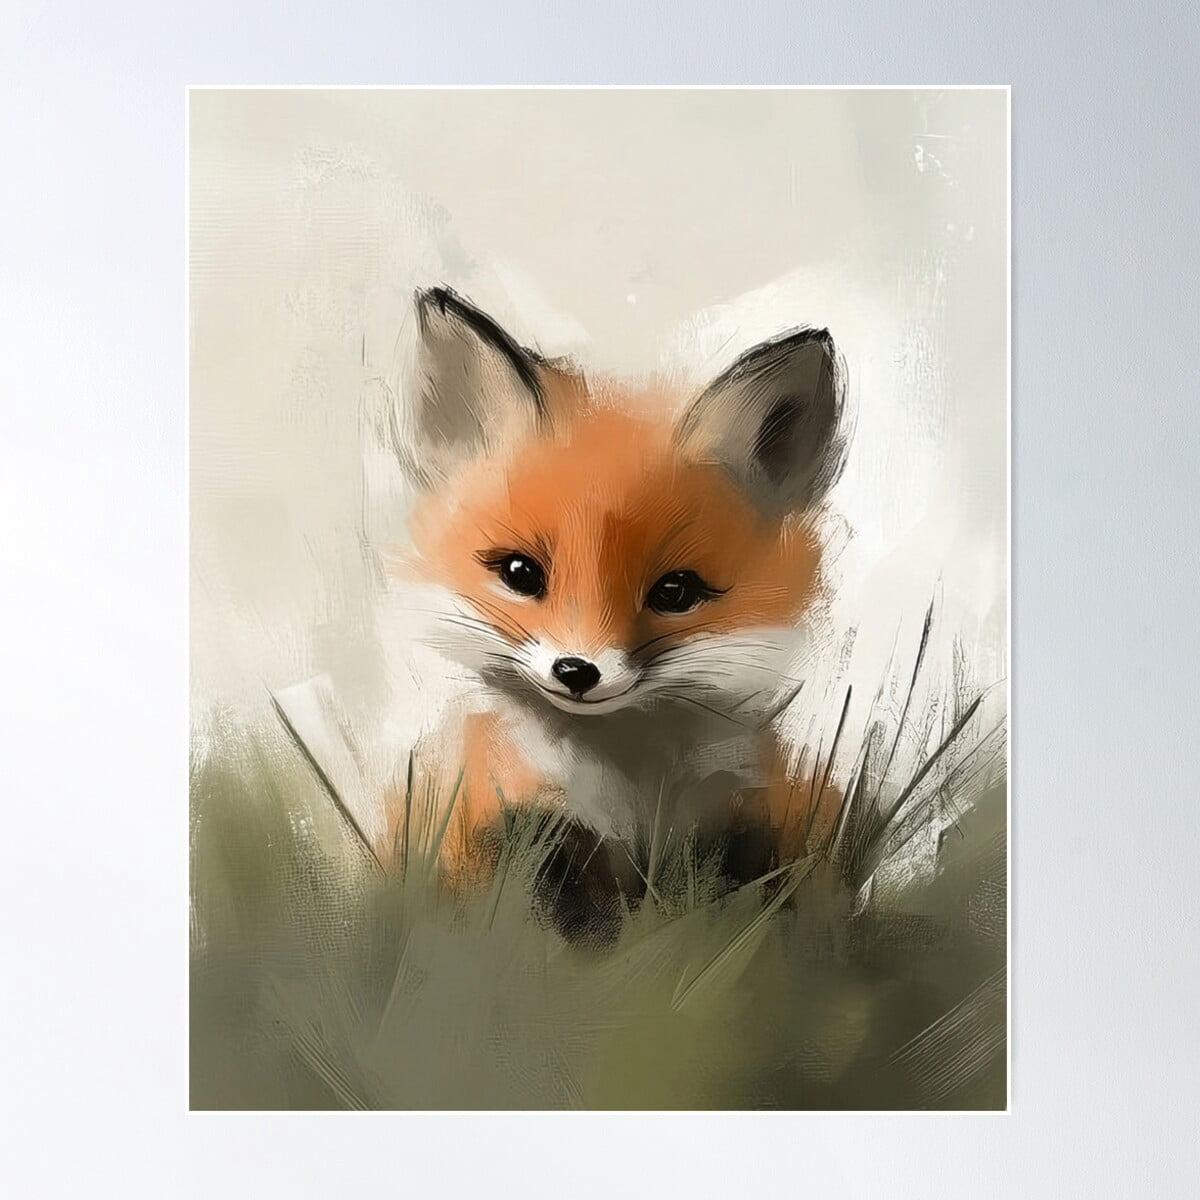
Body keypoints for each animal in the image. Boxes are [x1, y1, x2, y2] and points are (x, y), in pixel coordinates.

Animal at [381, 286, 849, 936]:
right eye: (520, 573)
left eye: (675, 591)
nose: (577, 672)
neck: (630, 790)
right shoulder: (527, 823)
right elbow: (571, 934)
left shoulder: (736, 817)